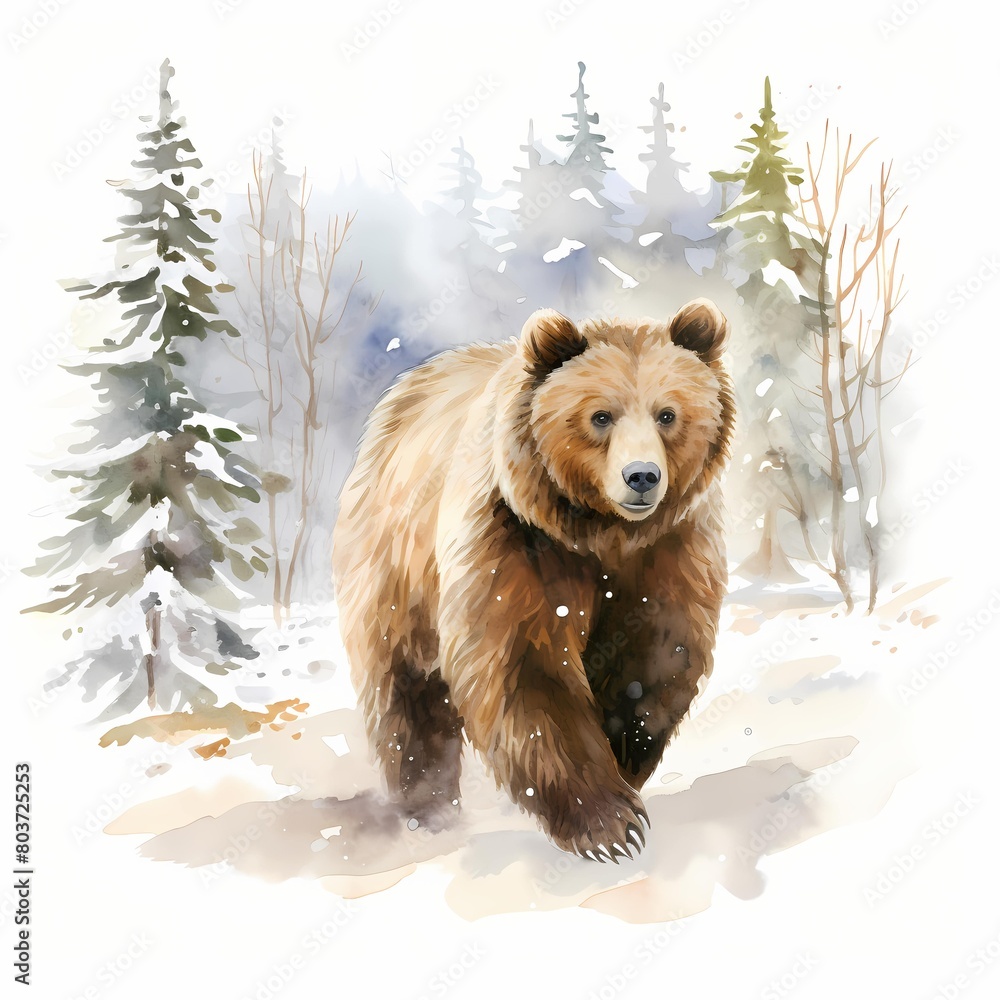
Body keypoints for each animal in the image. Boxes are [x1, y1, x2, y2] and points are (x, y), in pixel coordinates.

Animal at [332, 299, 735, 861]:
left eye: (667, 414)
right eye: (601, 415)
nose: (642, 476)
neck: (601, 534)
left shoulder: (669, 549)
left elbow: (655, 655)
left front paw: (625, 764)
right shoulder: (515, 539)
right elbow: (522, 664)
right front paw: (609, 824)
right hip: (394, 561)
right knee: (404, 688)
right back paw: (427, 804)